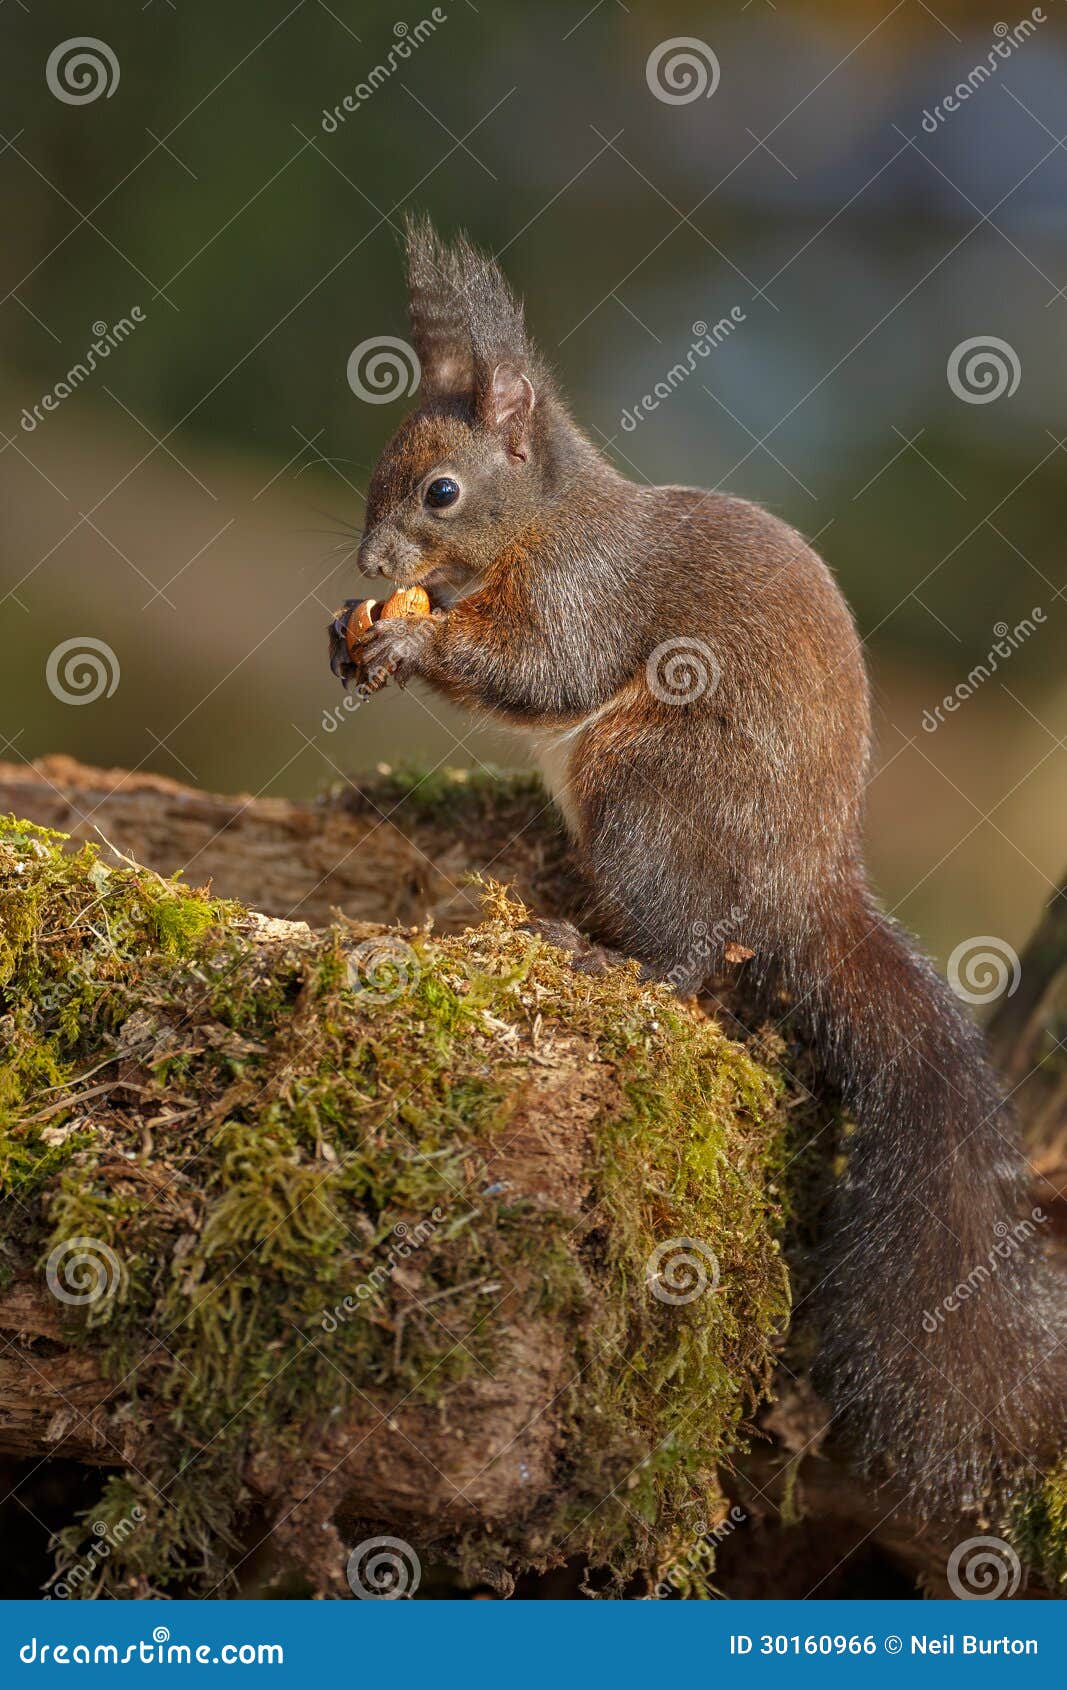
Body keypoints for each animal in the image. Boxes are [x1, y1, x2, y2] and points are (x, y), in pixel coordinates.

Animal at [338, 215, 1066, 1517]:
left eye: (439, 490)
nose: (369, 559)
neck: (542, 524)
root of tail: (805, 883)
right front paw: (355, 634)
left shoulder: (580, 596)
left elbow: (546, 670)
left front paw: (408, 639)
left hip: (647, 786)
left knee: (684, 954)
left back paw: (604, 955)